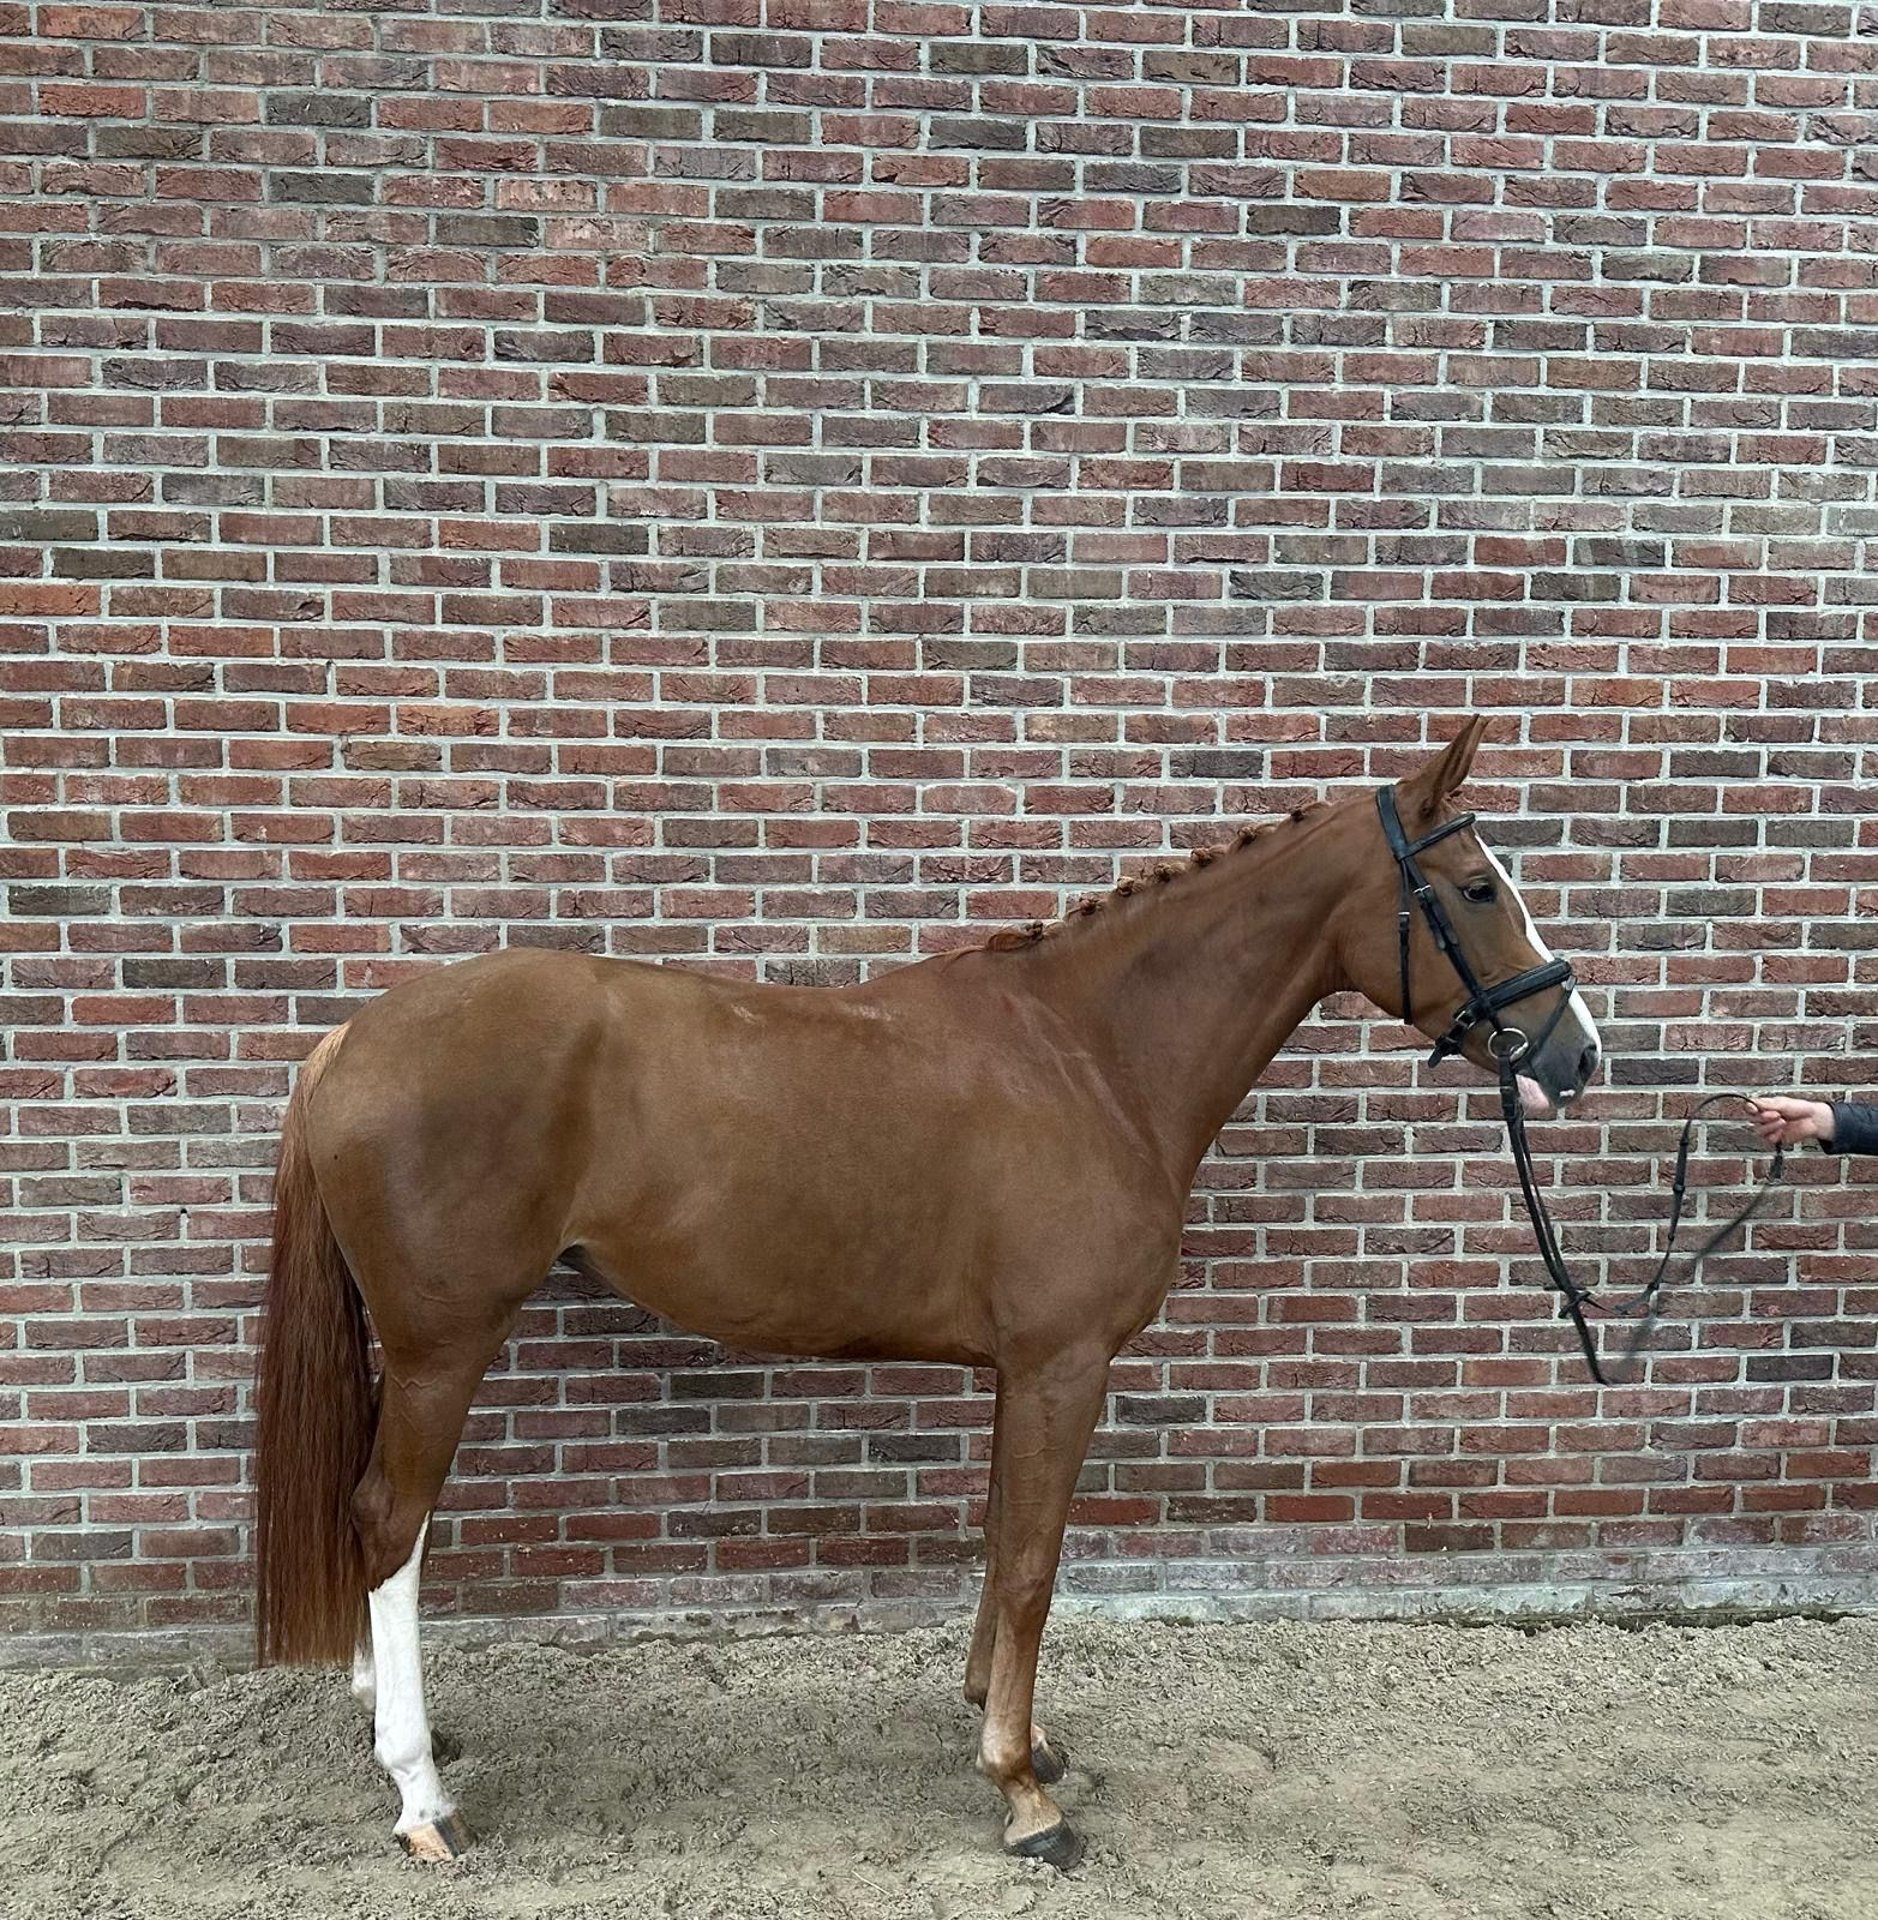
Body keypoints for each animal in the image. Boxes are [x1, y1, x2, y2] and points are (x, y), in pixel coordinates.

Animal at [252, 716, 1602, 1867]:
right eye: (1479, 887)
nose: (1577, 1055)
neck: (1092, 1056)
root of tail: (346, 1043)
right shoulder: (1065, 1361)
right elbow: (1035, 1564)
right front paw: (1022, 1795)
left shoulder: (1025, 1369)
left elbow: (1003, 1539)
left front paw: (1018, 1736)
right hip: (445, 1345)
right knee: (389, 1521)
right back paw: (420, 1793)